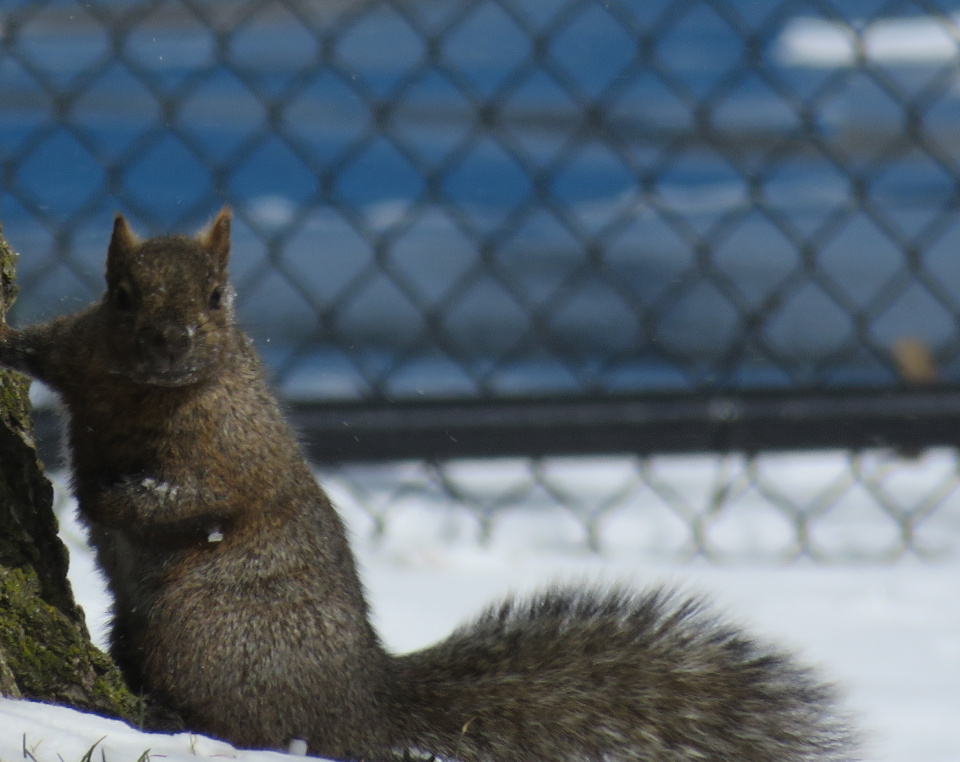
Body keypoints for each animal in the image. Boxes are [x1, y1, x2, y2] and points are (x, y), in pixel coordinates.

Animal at [0, 208, 857, 761]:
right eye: (120, 293)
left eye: (217, 295)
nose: (171, 341)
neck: (145, 392)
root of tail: (361, 704)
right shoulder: (81, 352)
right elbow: (43, 349)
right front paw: (9, 344)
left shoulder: (233, 455)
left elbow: (203, 504)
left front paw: (102, 497)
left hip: (207, 628)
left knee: (242, 721)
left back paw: (163, 711)